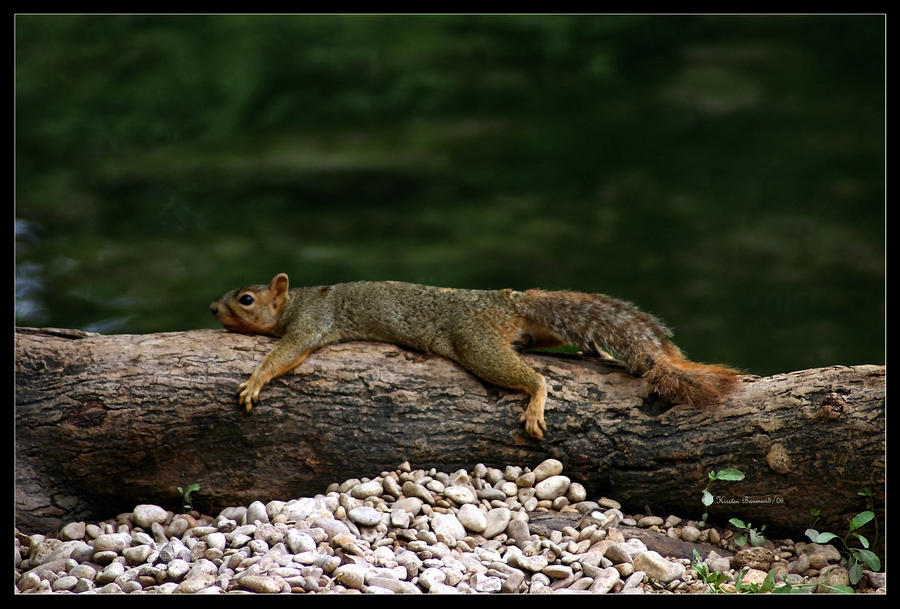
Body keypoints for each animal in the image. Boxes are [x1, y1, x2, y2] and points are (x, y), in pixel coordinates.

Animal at [210, 273, 740, 440]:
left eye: (246, 299)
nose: (212, 308)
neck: (295, 300)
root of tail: (504, 302)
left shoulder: (309, 323)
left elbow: (286, 352)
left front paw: (255, 380)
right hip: (525, 333)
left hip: (475, 343)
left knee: (531, 377)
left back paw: (536, 397)